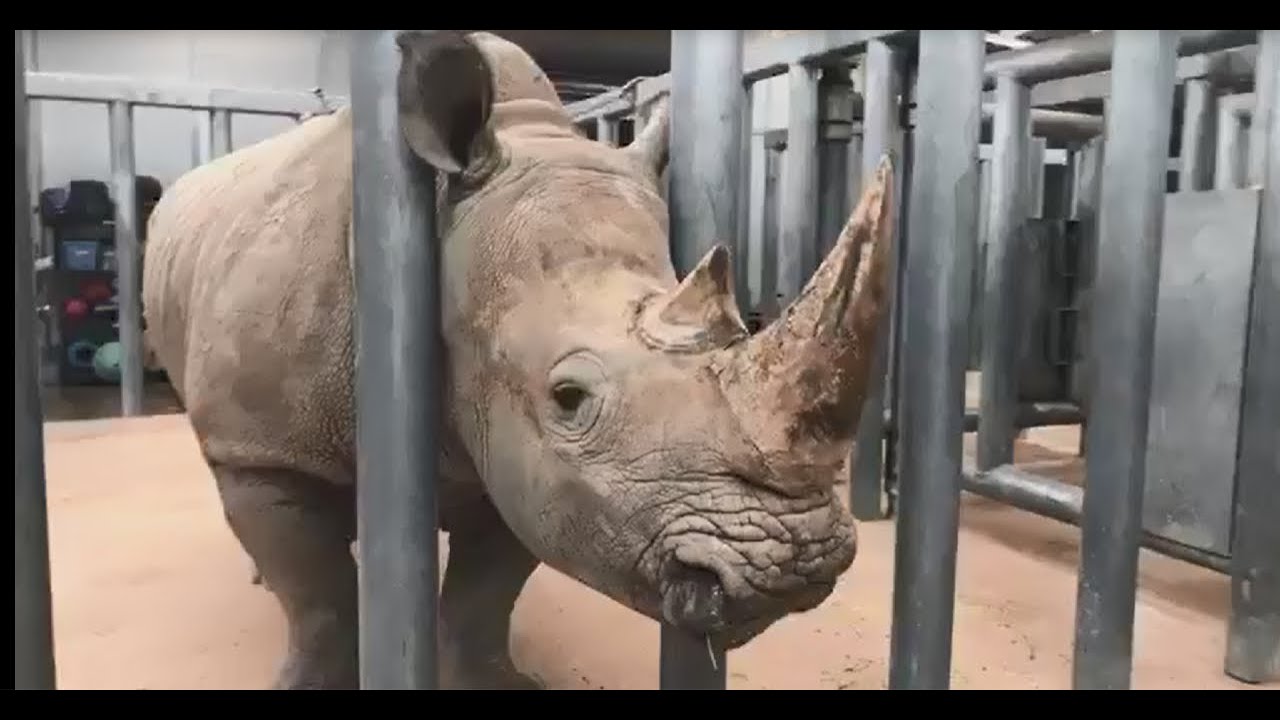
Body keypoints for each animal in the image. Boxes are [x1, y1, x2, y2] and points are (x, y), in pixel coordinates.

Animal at [141, 30, 895, 690]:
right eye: (568, 397)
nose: (794, 566)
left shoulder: (525, 463)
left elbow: (486, 593)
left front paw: (495, 683)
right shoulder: (258, 446)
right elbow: (317, 597)